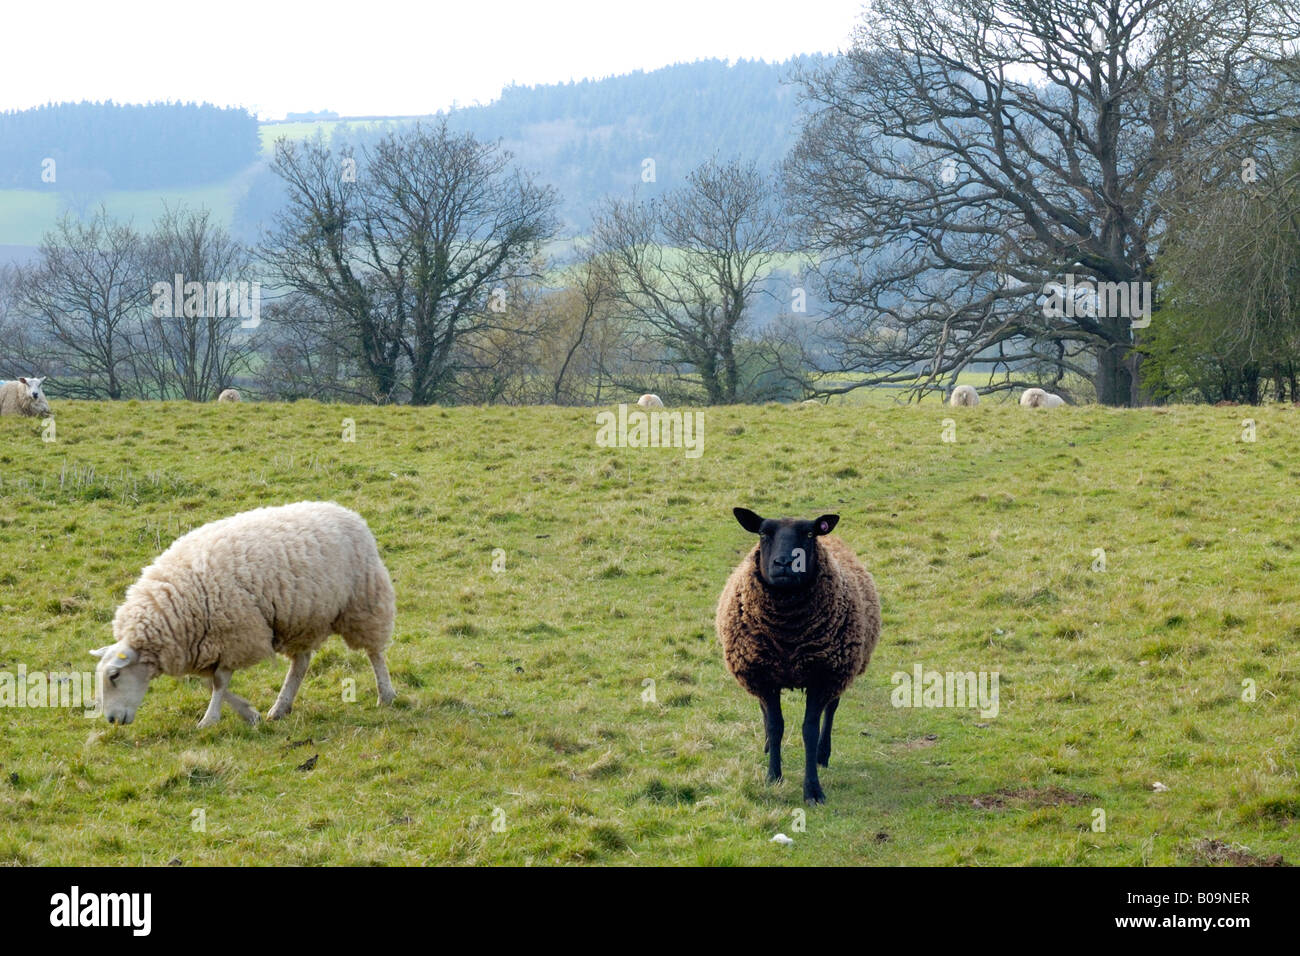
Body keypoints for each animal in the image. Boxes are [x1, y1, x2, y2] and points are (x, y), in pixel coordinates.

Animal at [89, 501, 397, 728]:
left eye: (114, 675)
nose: (112, 720)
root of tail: (346, 512)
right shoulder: (208, 644)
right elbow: (209, 683)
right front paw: (249, 713)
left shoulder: (233, 634)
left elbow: (219, 682)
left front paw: (209, 720)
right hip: (301, 618)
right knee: (301, 663)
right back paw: (280, 707)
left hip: (364, 602)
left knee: (374, 652)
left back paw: (386, 694)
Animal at [716, 508, 881, 803]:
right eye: (763, 533)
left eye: (809, 533)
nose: (784, 563)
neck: (788, 634)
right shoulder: (763, 674)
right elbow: (775, 725)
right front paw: (773, 776)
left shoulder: (822, 675)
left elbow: (809, 729)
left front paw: (813, 789)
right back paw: (768, 747)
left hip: (841, 667)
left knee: (832, 709)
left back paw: (823, 754)